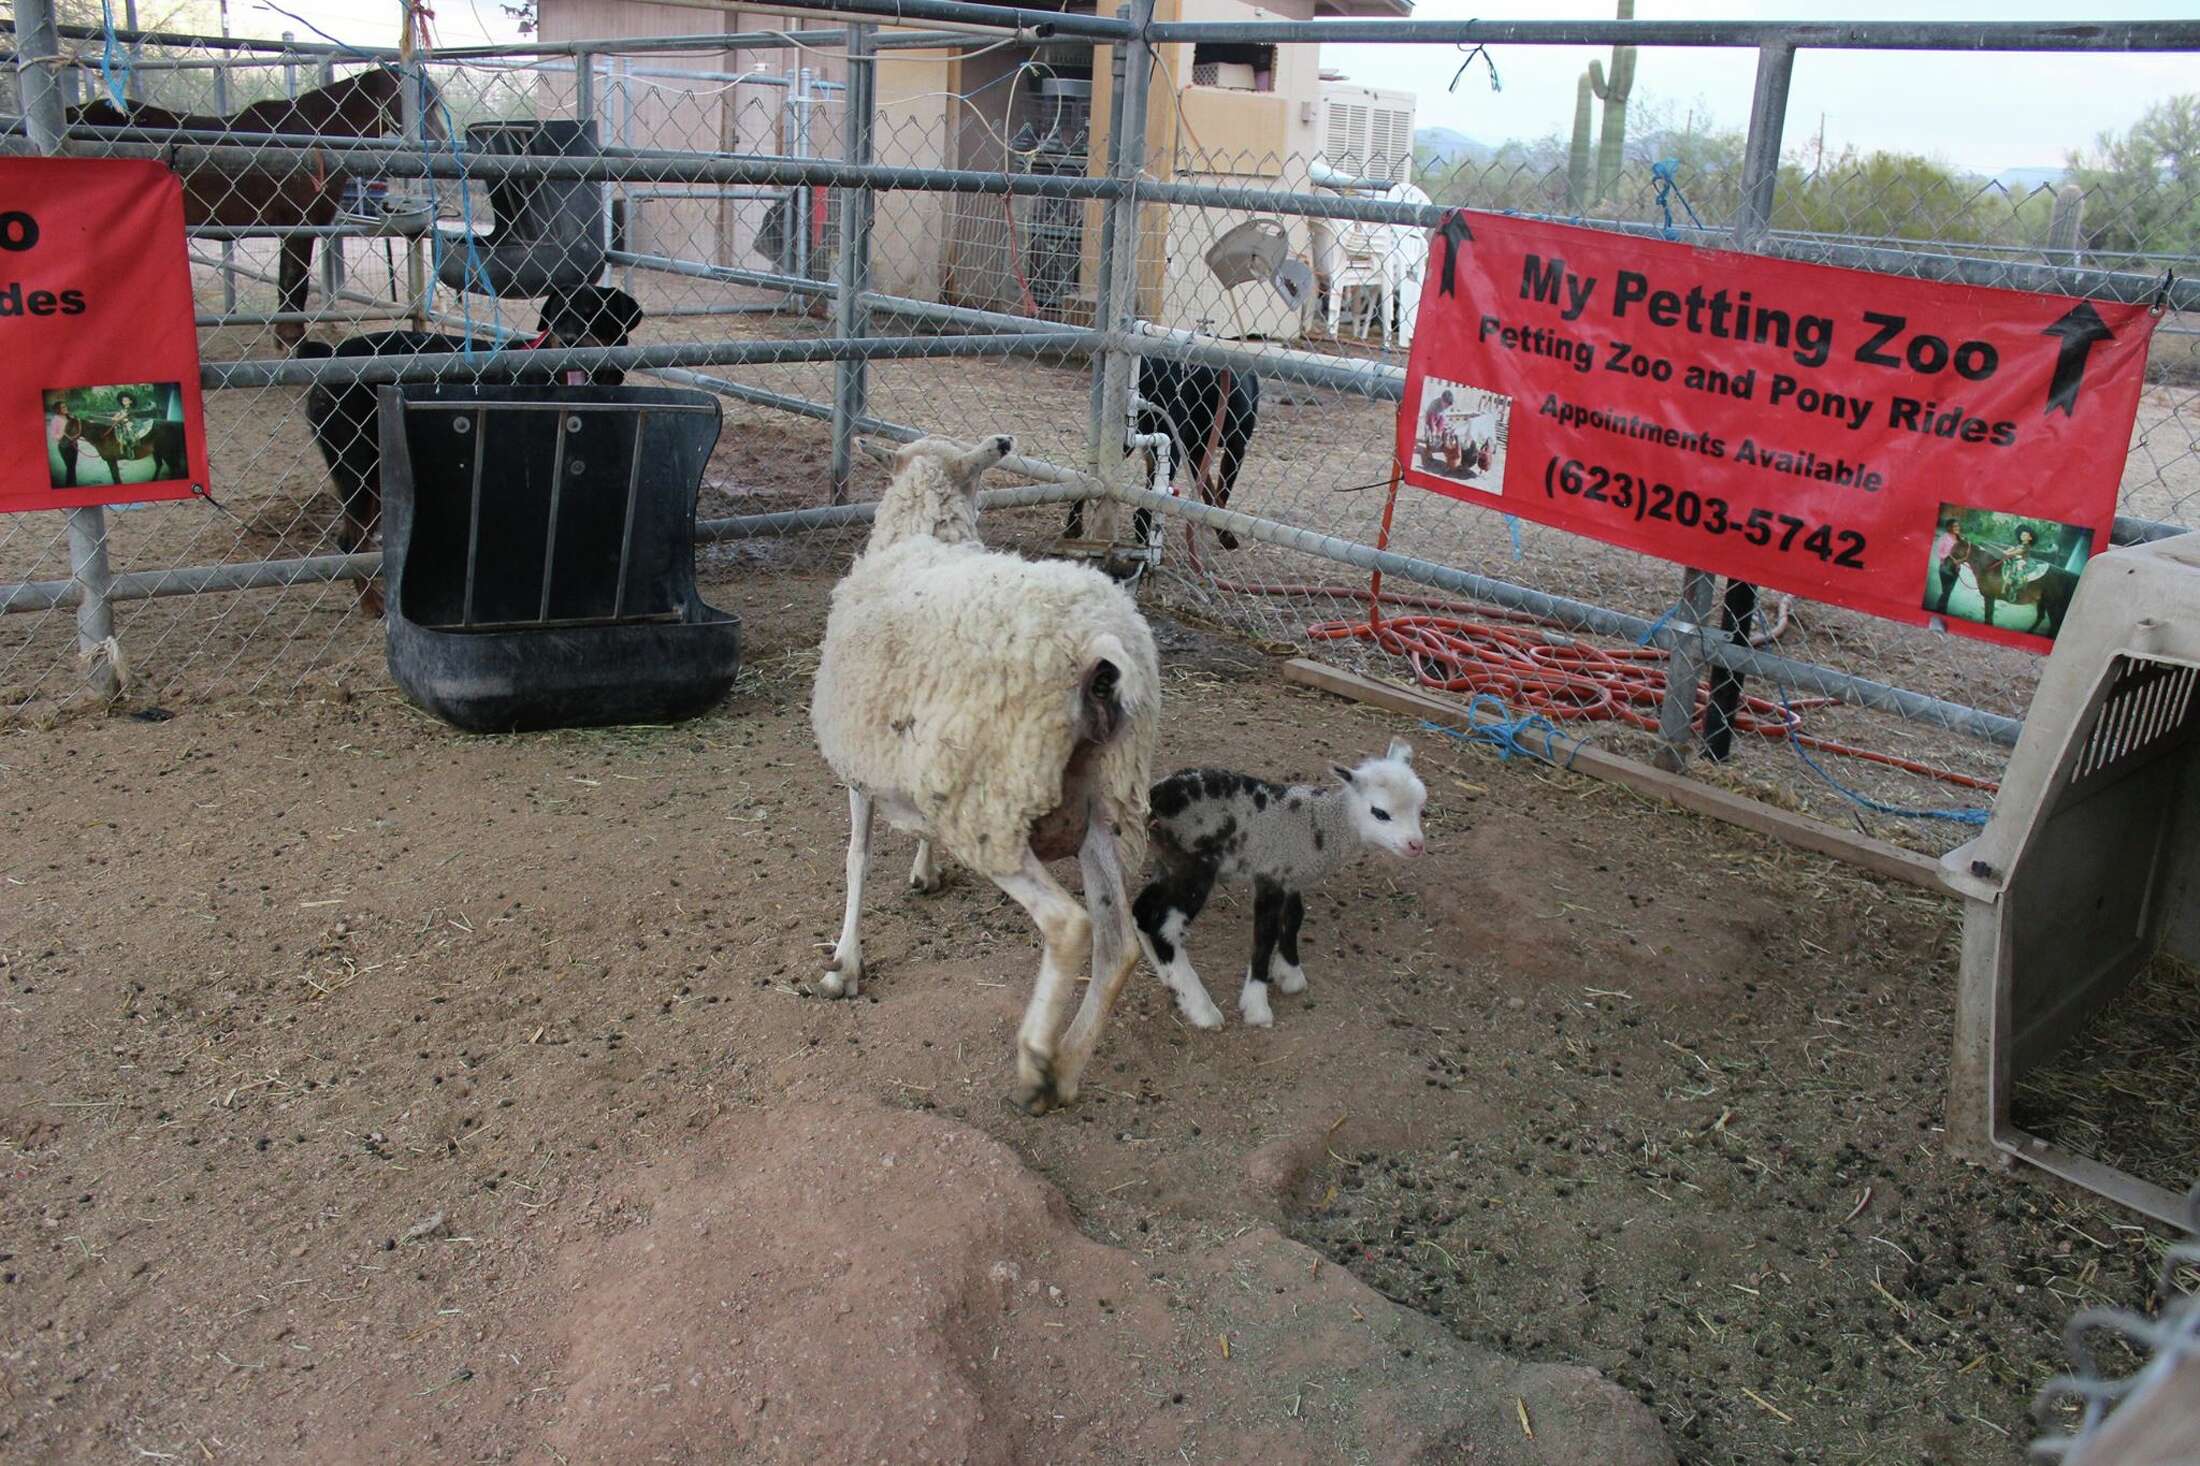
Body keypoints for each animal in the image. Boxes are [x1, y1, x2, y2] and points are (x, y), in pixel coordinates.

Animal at [810, 433, 1162, 1115]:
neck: (919, 534)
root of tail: (1102, 645)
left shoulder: (861, 768)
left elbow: (856, 859)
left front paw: (845, 963)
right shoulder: (922, 763)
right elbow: (909, 833)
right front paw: (925, 870)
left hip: (992, 801)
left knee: (1070, 926)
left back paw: (1035, 1059)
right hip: (1101, 798)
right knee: (1120, 942)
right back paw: (1067, 1068)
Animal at [1132, 740, 1428, 1029]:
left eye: (1420, 807)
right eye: (1380, 813)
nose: (1416, 845)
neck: (1321, 825)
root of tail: (1154, 799)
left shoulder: (1290, 875)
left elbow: (1294, 917)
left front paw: (1290, 972)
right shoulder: (1270, 874)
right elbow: (1265, 936)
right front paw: (1257, 1006)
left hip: (1170, 863)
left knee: (1143, 911)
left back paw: (1168, 977)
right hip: (1194, 866)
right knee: (1163, 926)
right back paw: (1201, 1008)